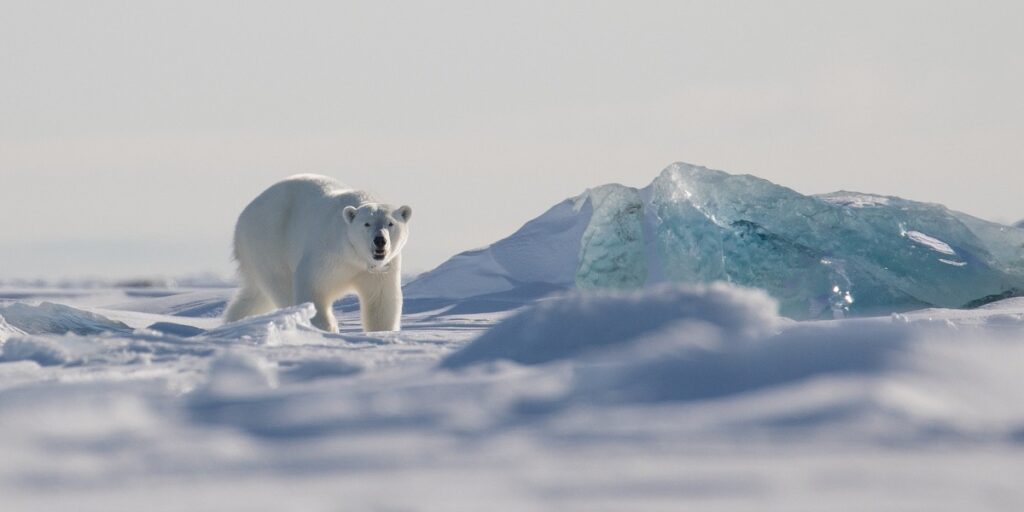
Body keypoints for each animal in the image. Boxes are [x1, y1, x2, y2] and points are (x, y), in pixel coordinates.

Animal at [224, 174, 411, 333]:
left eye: (390, 223)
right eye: (367, 223)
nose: (380, 241)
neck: (354, 255)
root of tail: (242, 217)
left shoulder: (380, 269)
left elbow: (381, 302)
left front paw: (382, 332)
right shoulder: (327, 253)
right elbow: (312, 288)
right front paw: (328, 327)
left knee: (255, 296)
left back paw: (234, 321)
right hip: (268, 243)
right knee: (282, 286)